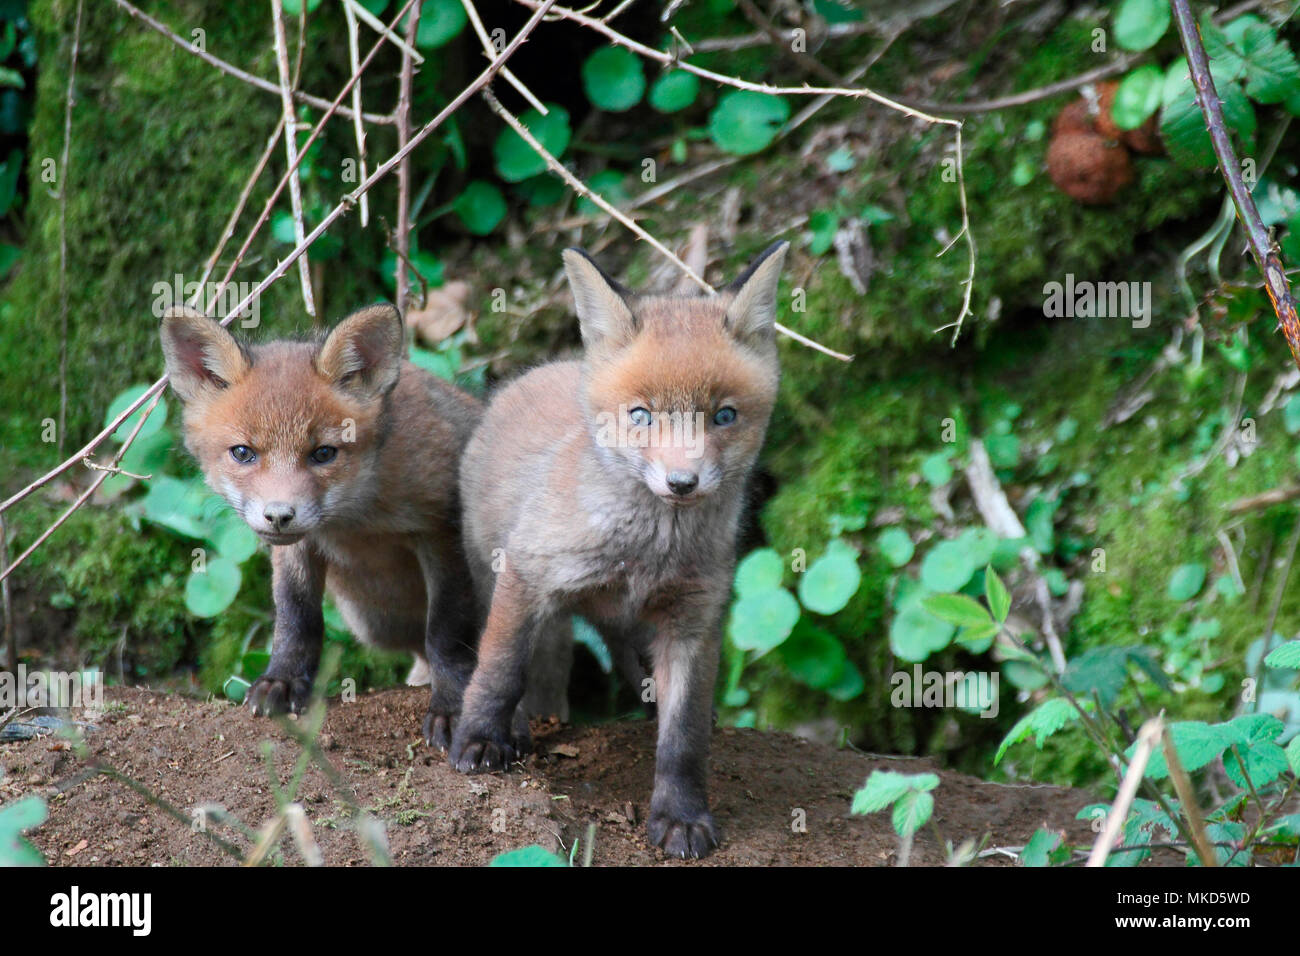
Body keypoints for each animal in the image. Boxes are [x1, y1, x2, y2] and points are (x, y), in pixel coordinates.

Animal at [158, 303, 486, 744]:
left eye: (324, 453)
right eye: (243, 453)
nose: (279, 515)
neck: (358, 518)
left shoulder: (442, 531)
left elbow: (447, 633)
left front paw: (452, 706)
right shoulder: (296, 549)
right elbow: (296, 618)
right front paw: (283, 680)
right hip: (377, 621)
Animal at [451, 240, 788, 858]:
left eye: (724, 416)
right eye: (641, 415)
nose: (682, 483)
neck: (647, 551)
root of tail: (542, 371)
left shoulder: (692, 621)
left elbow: (684, 738)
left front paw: (680, 816)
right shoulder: (529, 574)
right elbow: (501, 669)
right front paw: (481, 740)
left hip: (630, 625)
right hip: (495, 576)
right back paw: (514, 729)